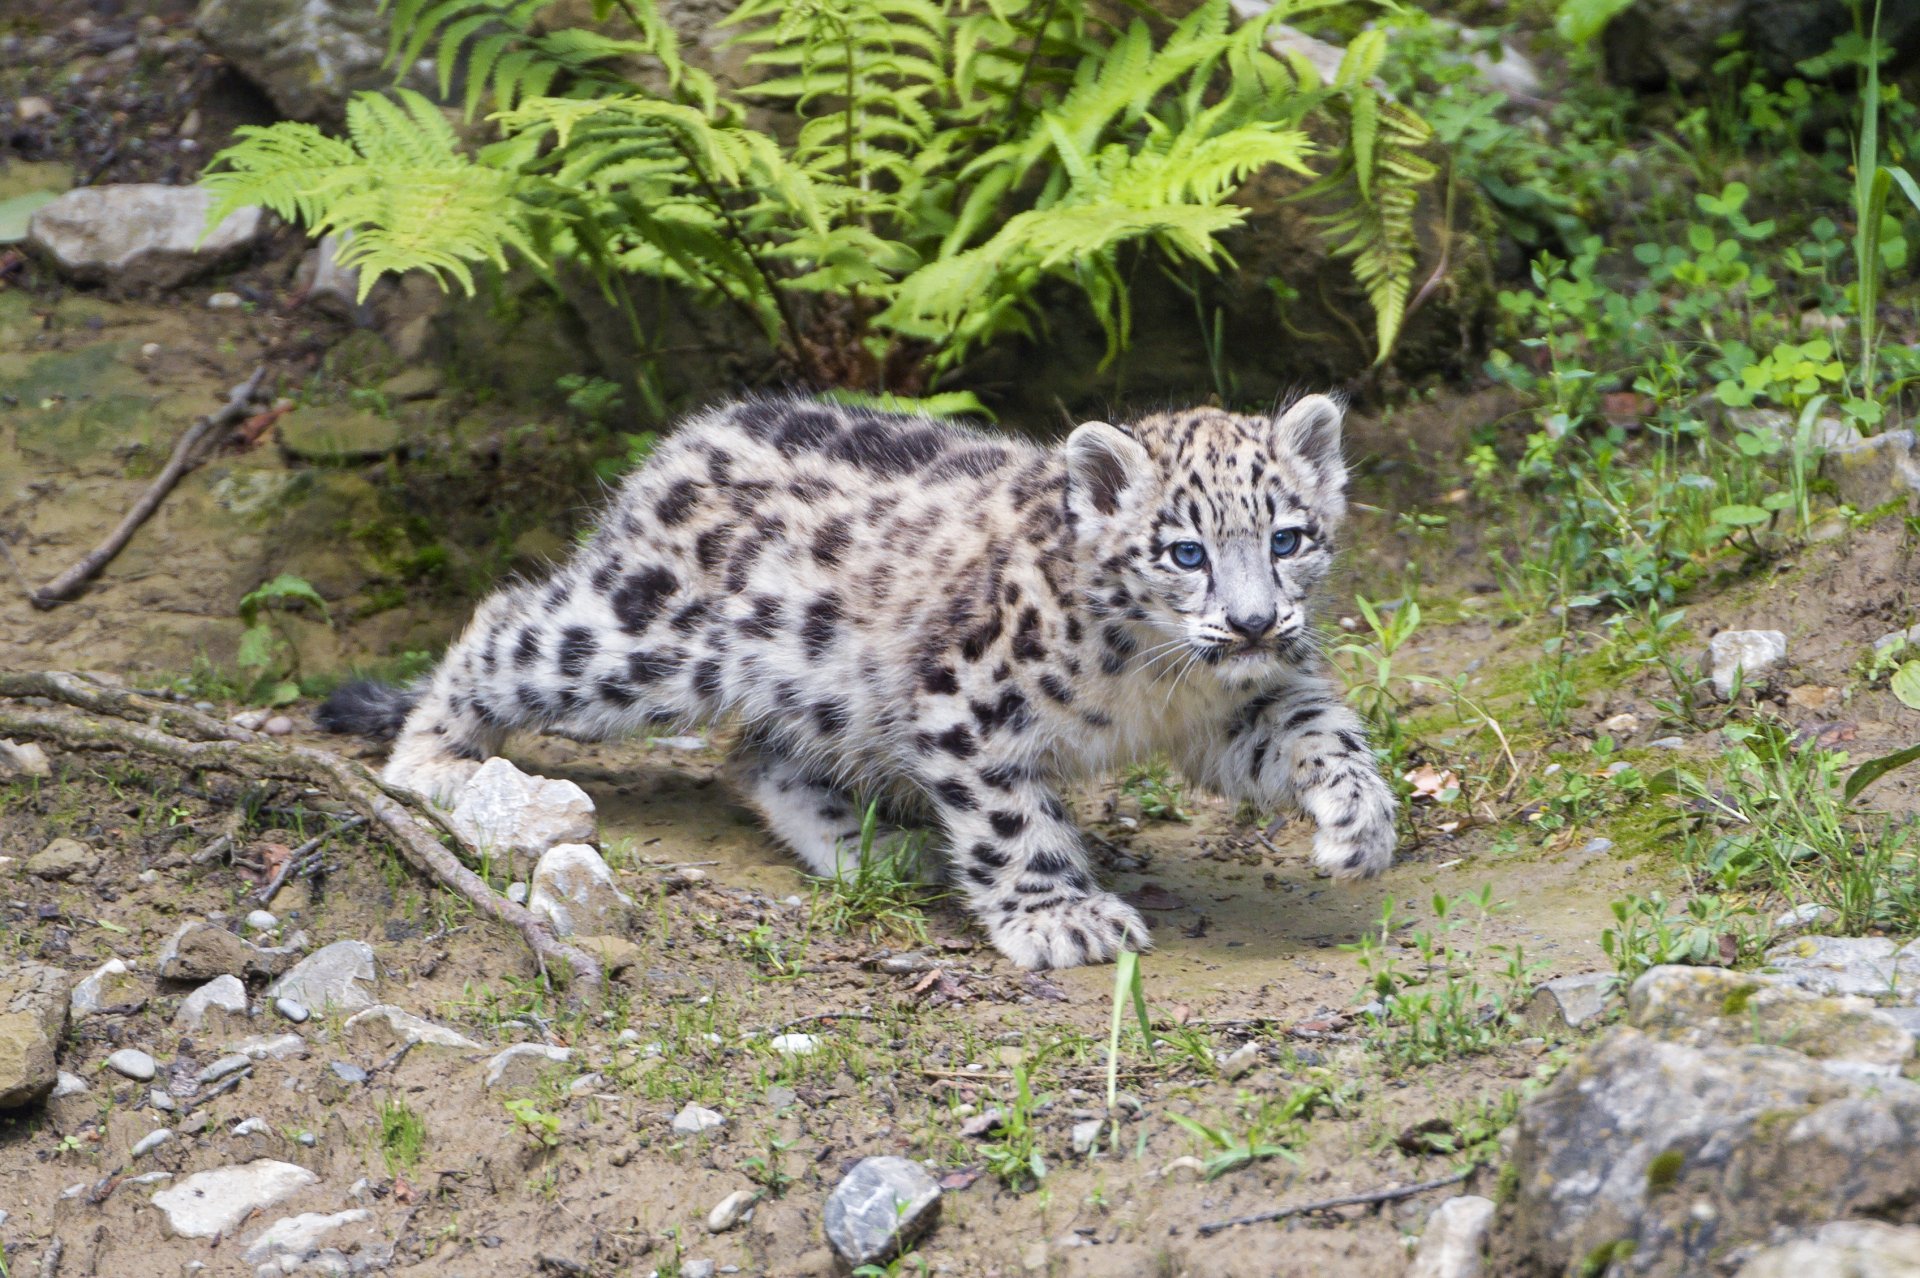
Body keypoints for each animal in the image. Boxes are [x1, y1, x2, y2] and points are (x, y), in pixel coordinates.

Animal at [317, 392, 1398, 969]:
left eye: (1288, 538)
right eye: (1183, 552)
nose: (1253, 621)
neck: (1162, 684)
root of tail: (680, 442)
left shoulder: (1242, 708)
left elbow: (1322, 731)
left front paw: (1359, 825)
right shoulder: (969, 699)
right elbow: (1010, 823)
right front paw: (1061, 916)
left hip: (821, 688)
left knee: (760, 755)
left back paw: (873, 850)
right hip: (637, 645)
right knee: (508, 622)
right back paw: (432, 760)